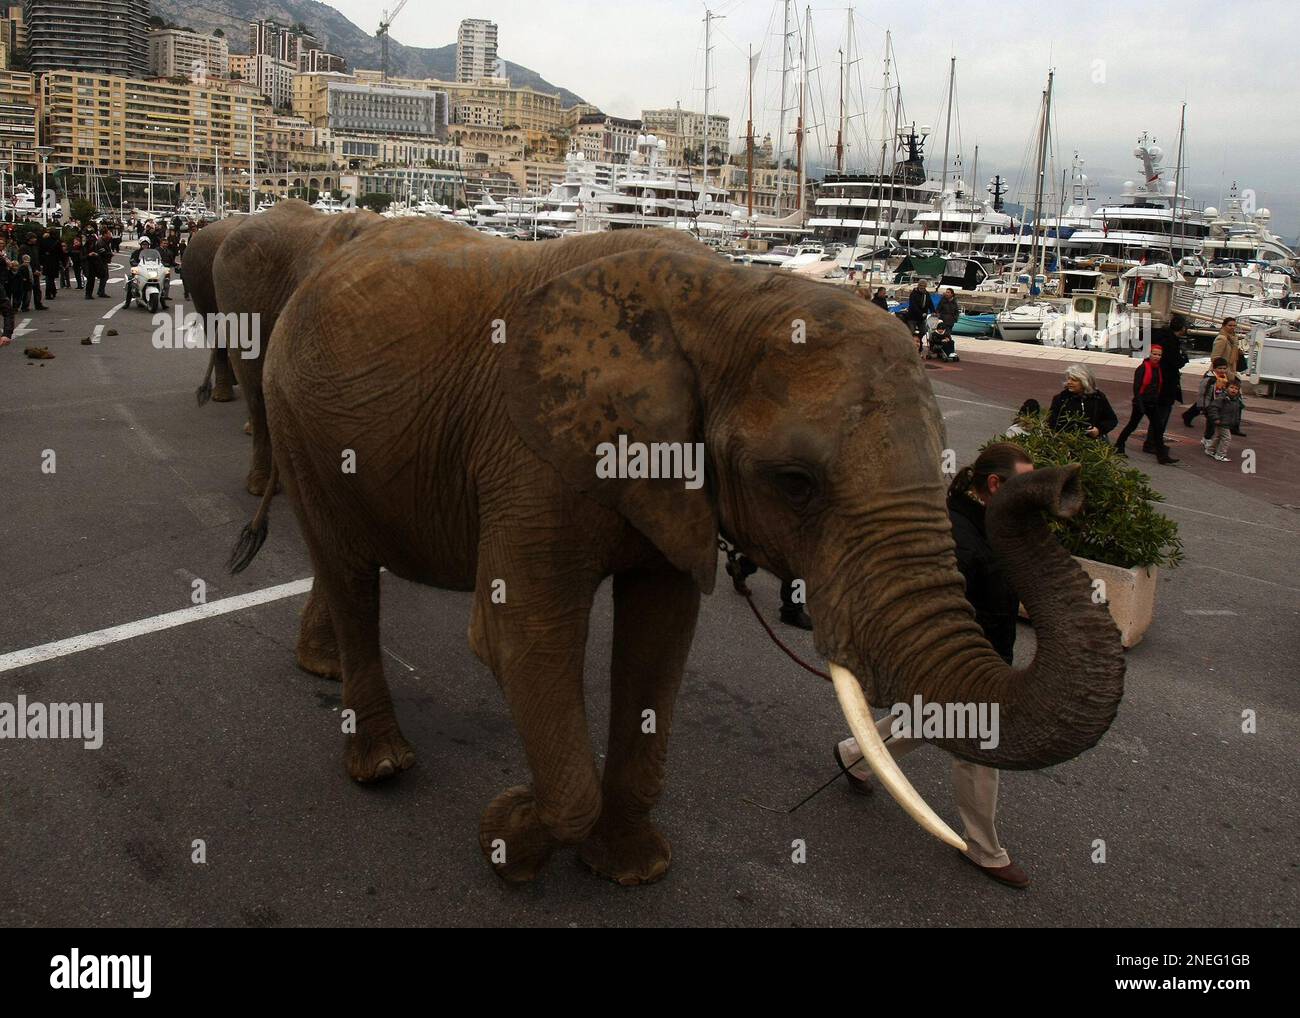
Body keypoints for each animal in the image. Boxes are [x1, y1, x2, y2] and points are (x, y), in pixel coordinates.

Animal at [231, 227, 1125, 886]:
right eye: (795, 484)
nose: (1063, 482)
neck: (730, 297)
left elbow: (659, 643)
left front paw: (632, 872)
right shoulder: (532, 451)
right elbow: (523, 637)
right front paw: (508, 841)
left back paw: (321, 668)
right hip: (294, 414)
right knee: (347, 567)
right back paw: (381, 765)